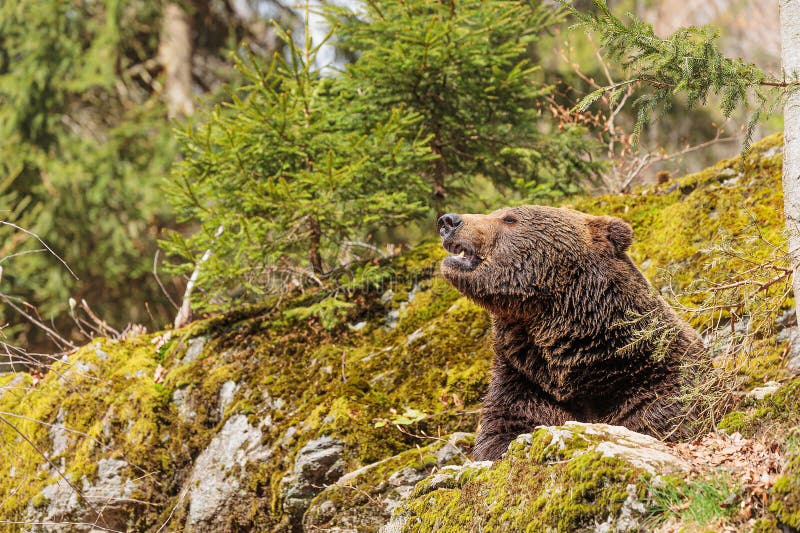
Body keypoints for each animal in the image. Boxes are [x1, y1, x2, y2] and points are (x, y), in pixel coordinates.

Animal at [437, 205, 707, 461]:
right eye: (498, 213)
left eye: (509, 218)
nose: (448, 221)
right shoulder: (524, 379)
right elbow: (503, 427)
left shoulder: (651, 371)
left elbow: (658, 414)